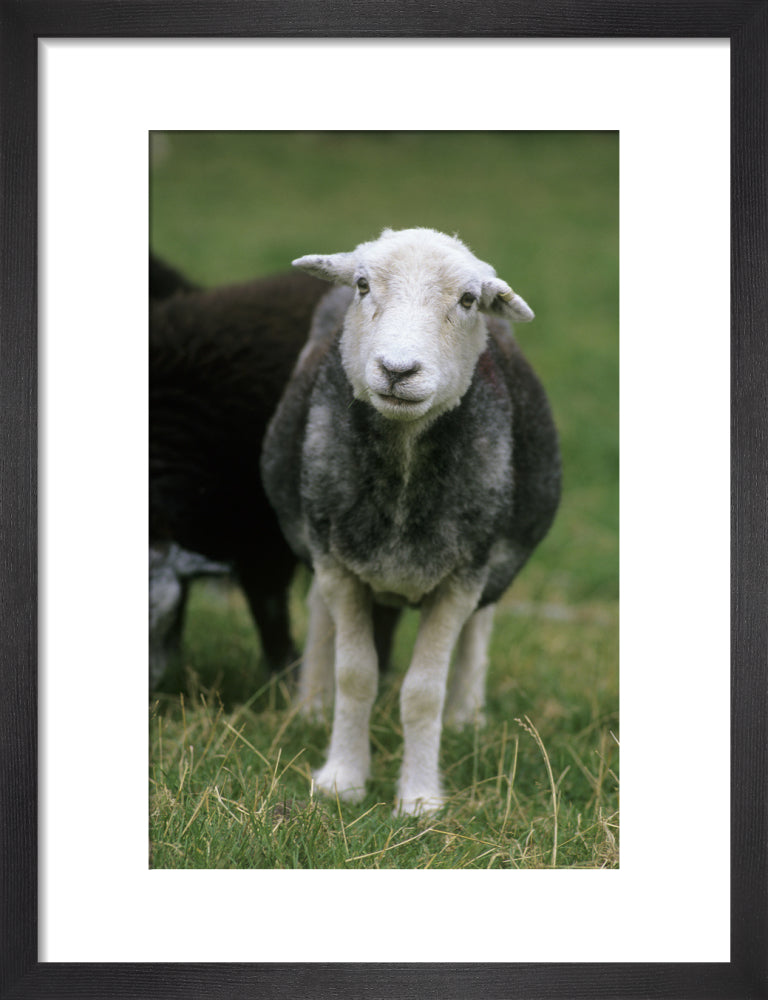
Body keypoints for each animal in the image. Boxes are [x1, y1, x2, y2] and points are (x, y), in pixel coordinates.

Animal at [261, 227, 561, 815]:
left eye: (468, 300)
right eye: (362, 285)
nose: (398, 371)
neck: (401, 474)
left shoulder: (462, 577)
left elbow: (423, 693)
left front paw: (419, 799)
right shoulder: (337, 563)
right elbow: (355, 675)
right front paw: (342, 780)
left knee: (480, 629)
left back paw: (467, 718)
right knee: (319, 616)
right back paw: (311, 706)